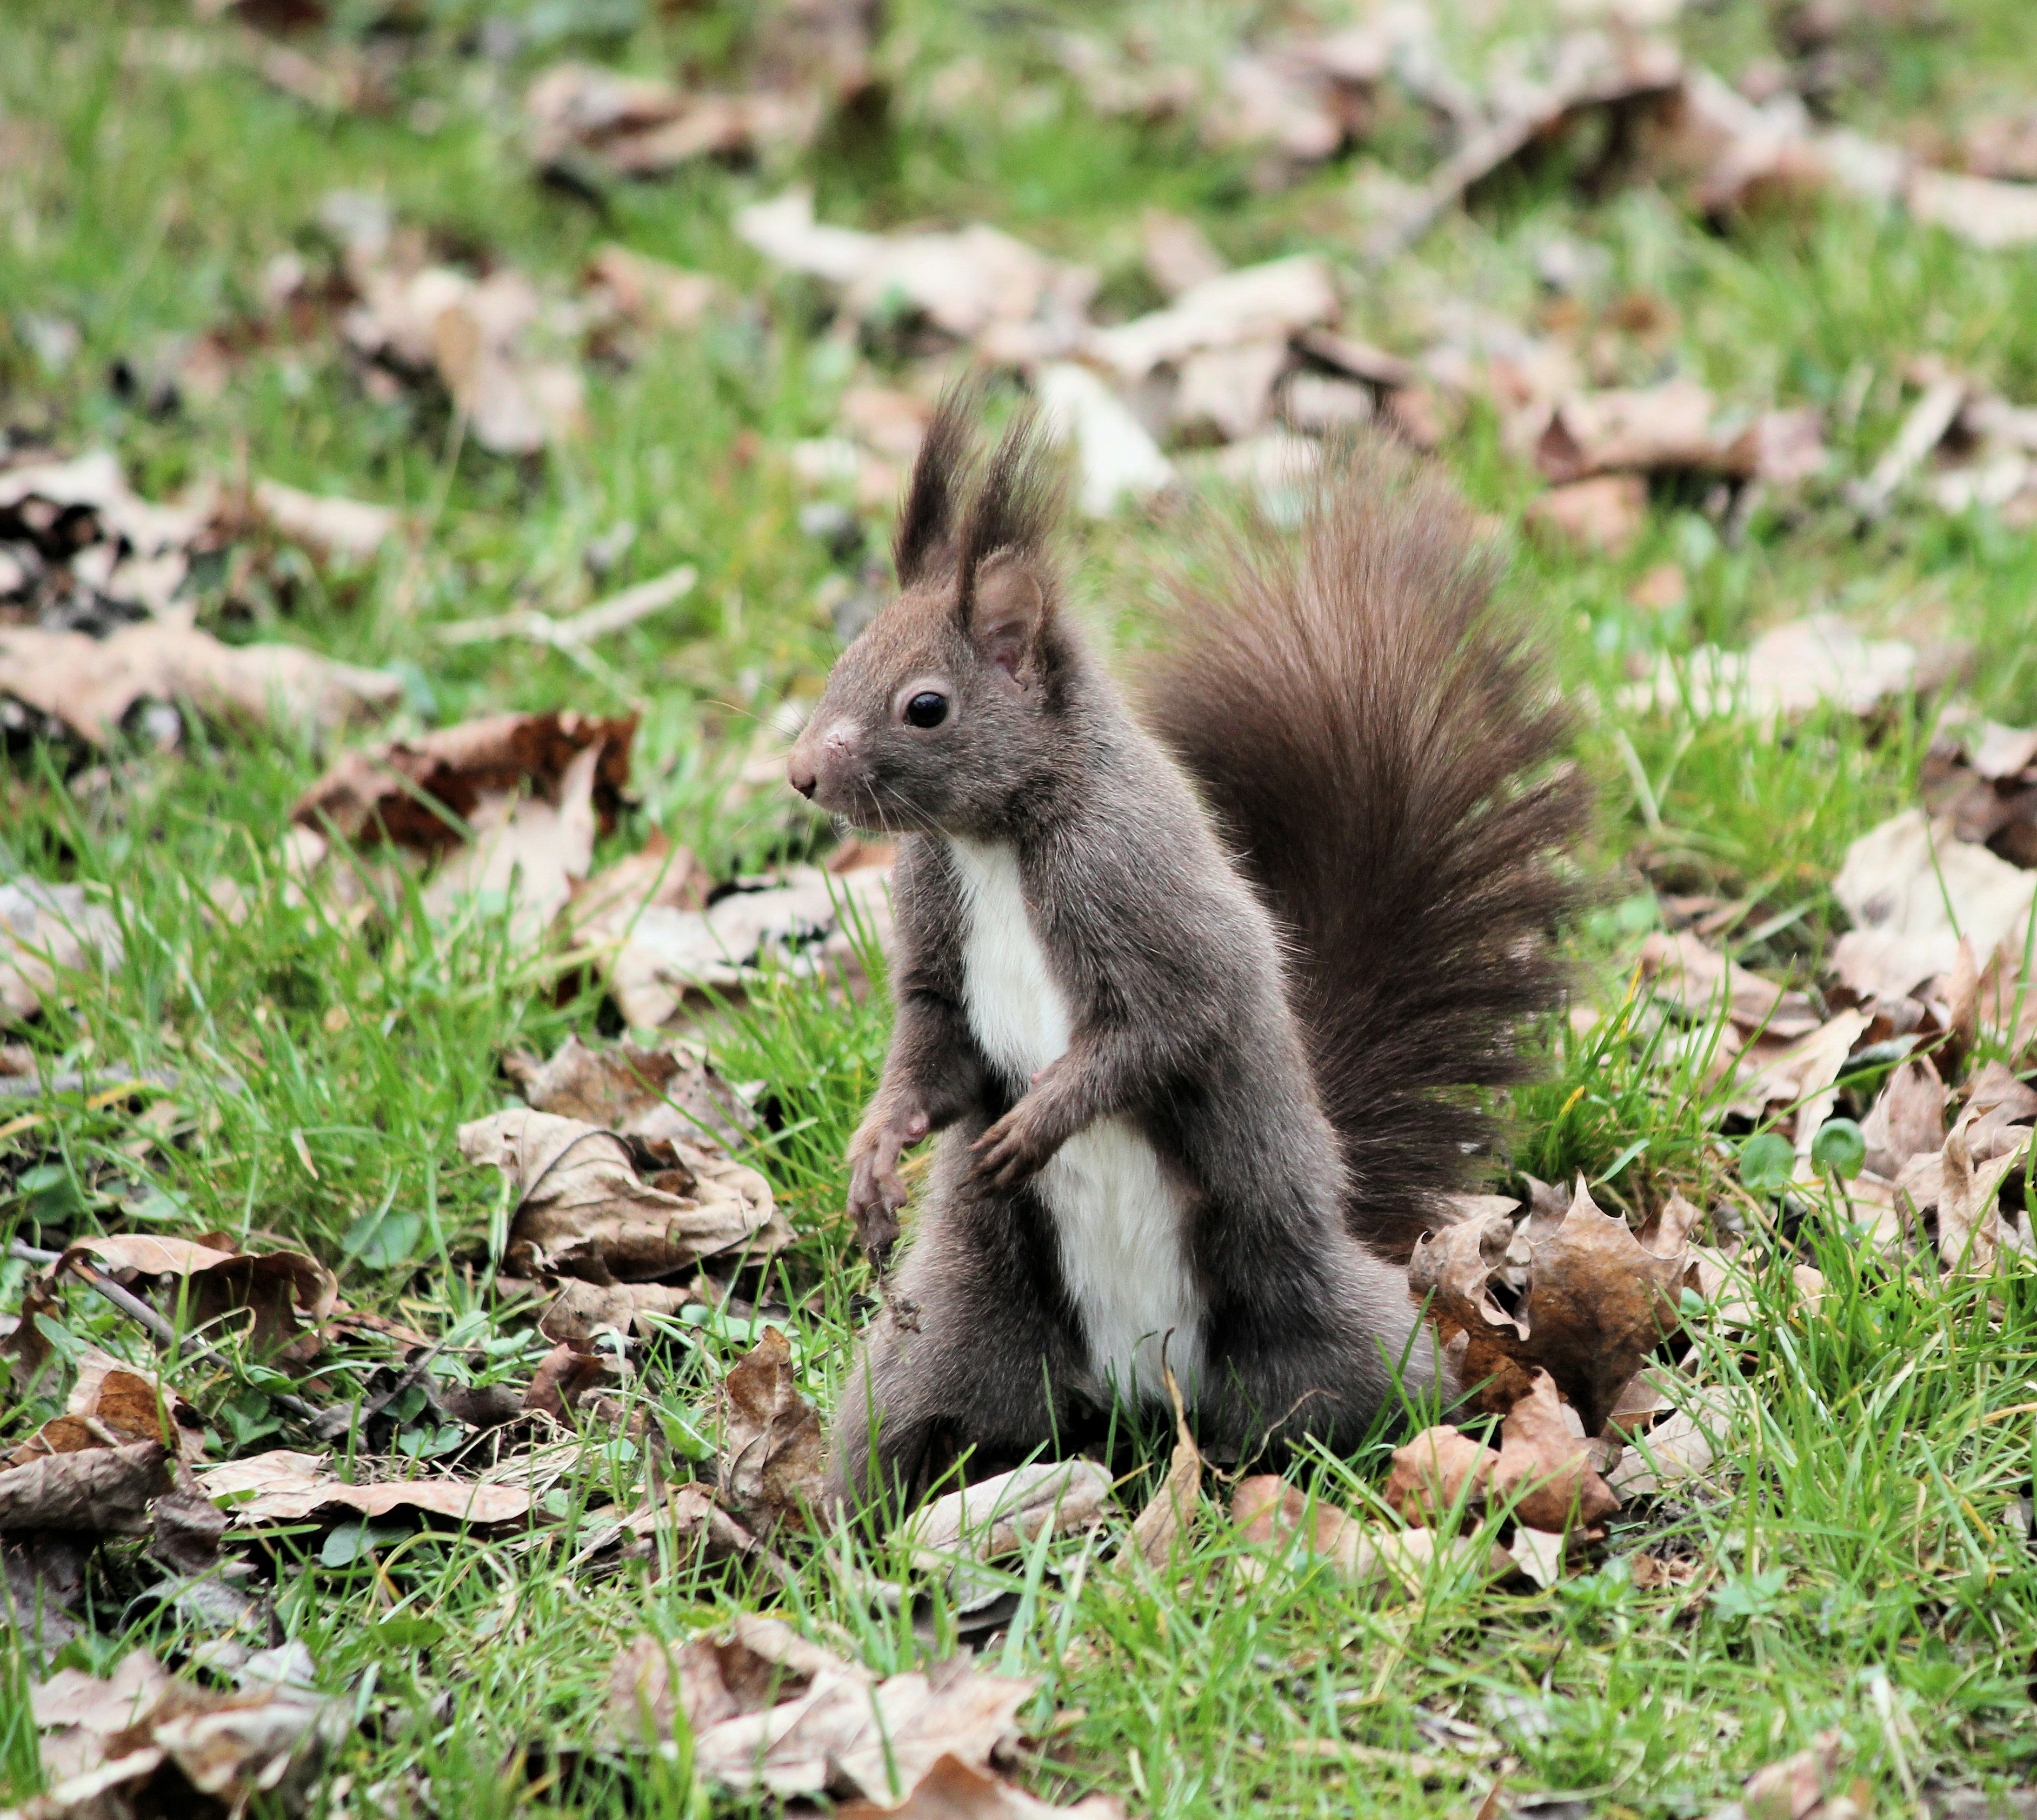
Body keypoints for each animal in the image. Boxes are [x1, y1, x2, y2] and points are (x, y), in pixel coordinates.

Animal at [787, 391, 1588, 1515]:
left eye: (925, 706)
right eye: (841, 664)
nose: (800, 772)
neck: (993, 840)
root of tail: (1140, 1387)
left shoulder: (1140, 896)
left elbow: (1163, 1028)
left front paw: (1037, 1122)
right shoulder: (938, 942)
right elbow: (931, 1046)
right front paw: (874, 1154)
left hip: (1327, 1321)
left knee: (1400, 1394)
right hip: (951, 1336)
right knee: (897, 1429)